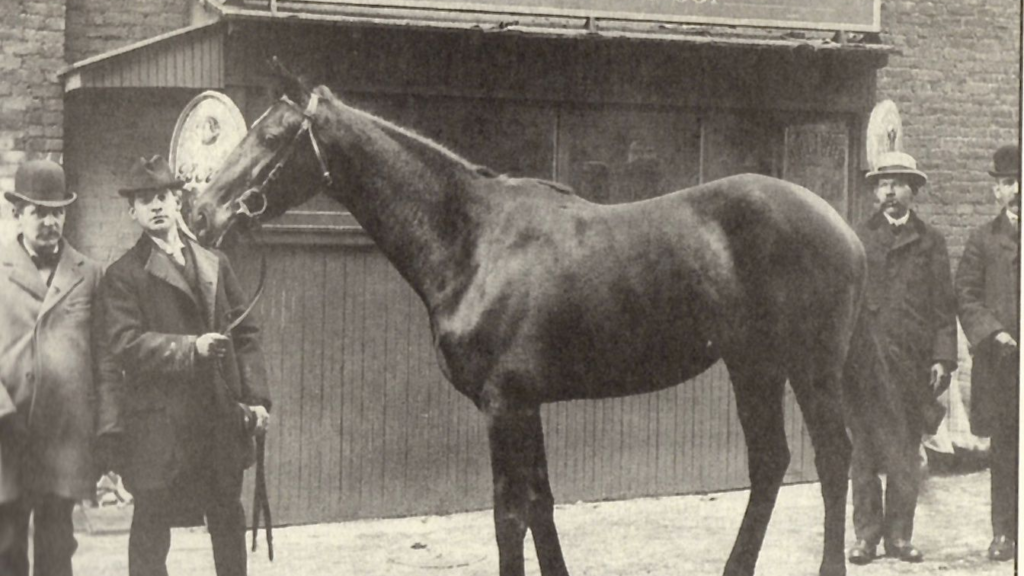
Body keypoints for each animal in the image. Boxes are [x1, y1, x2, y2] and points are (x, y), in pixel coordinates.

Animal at [187, 75, 867, 576]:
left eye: (272, 135)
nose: (201, 212)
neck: (474, 241)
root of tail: (844, 227)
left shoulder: (504, 404)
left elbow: (508, 516)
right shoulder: (527, 404)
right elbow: (541, 505)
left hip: (810, 365)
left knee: (834, 459)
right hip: (754, 364)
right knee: (771, 462)